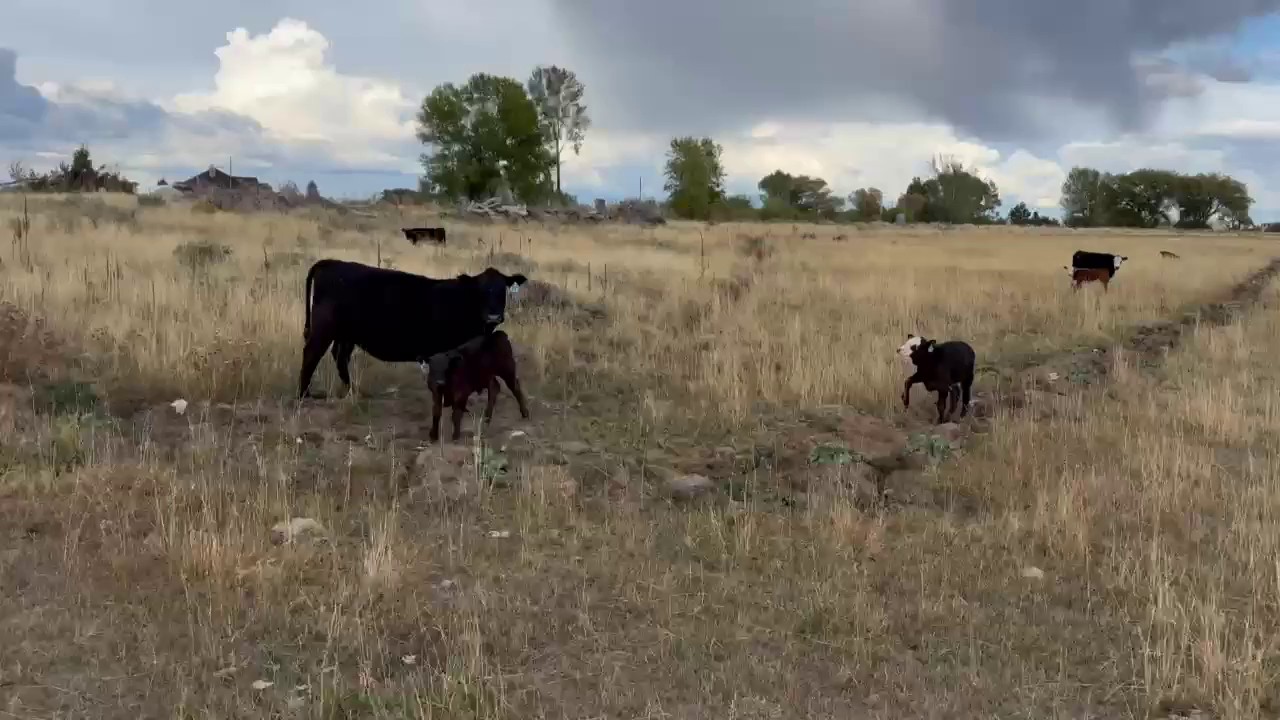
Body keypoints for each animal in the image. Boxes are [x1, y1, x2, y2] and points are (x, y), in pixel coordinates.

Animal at [298, 259, 528, 399]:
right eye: (480, 291)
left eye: (503, 289)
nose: (493, 315)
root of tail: (329, 262)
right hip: (323, 328)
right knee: (311, 354)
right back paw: (304, 394)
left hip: (346, 334)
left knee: (339, 357)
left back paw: (353, 391)